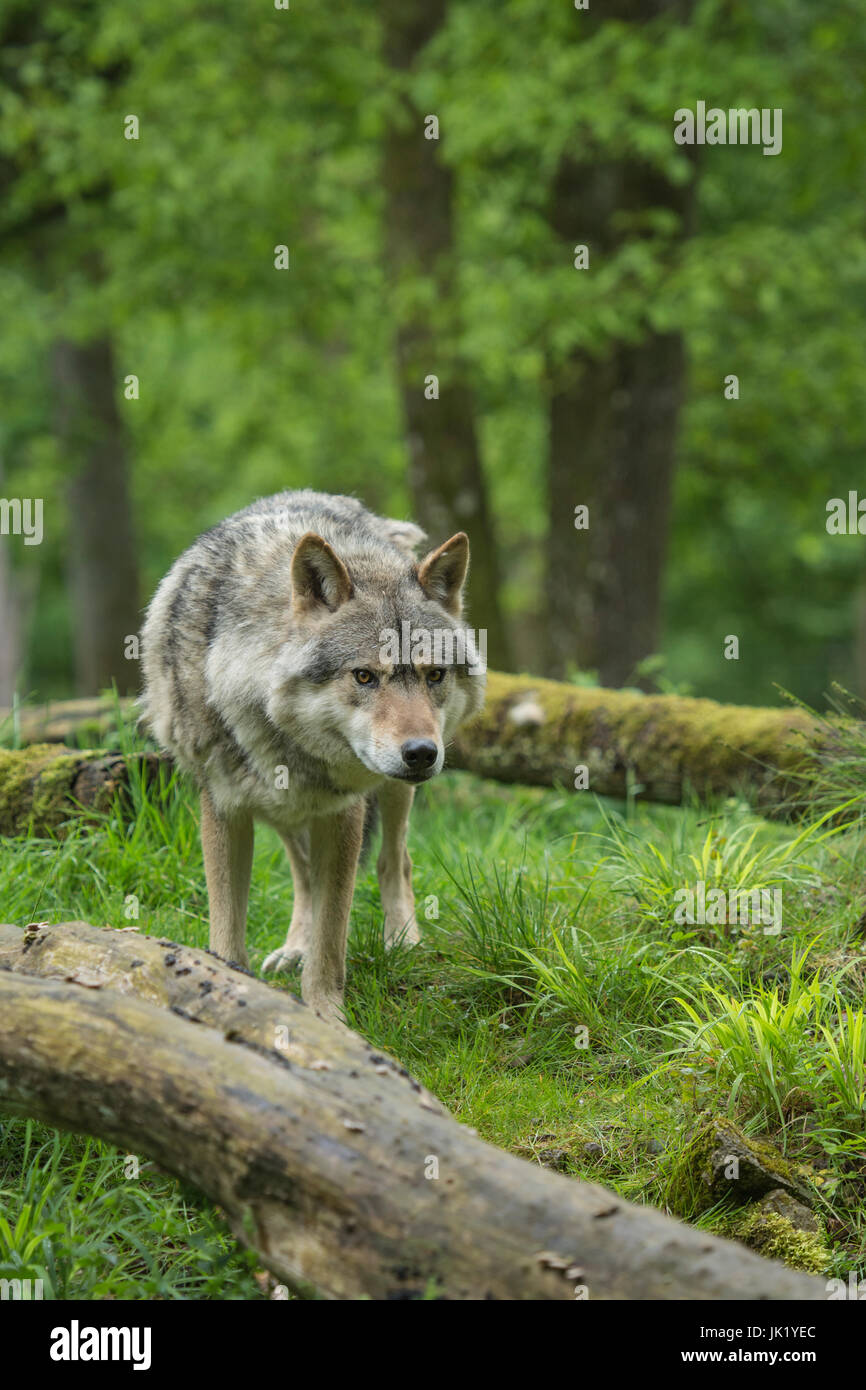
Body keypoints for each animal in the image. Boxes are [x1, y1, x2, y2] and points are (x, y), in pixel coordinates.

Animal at [140, 490, 486, 1023]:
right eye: (364, 676)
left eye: (434, 675)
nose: (422, 753)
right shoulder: (223, 807)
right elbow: (228, 927)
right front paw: (228, 983)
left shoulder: (343, 812)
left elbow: (332, 933)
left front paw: (325, 1016)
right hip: (284, 809)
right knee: (304, 877)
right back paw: (293, 948)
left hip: (390, 795)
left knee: (395, 861)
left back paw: (402, 940)